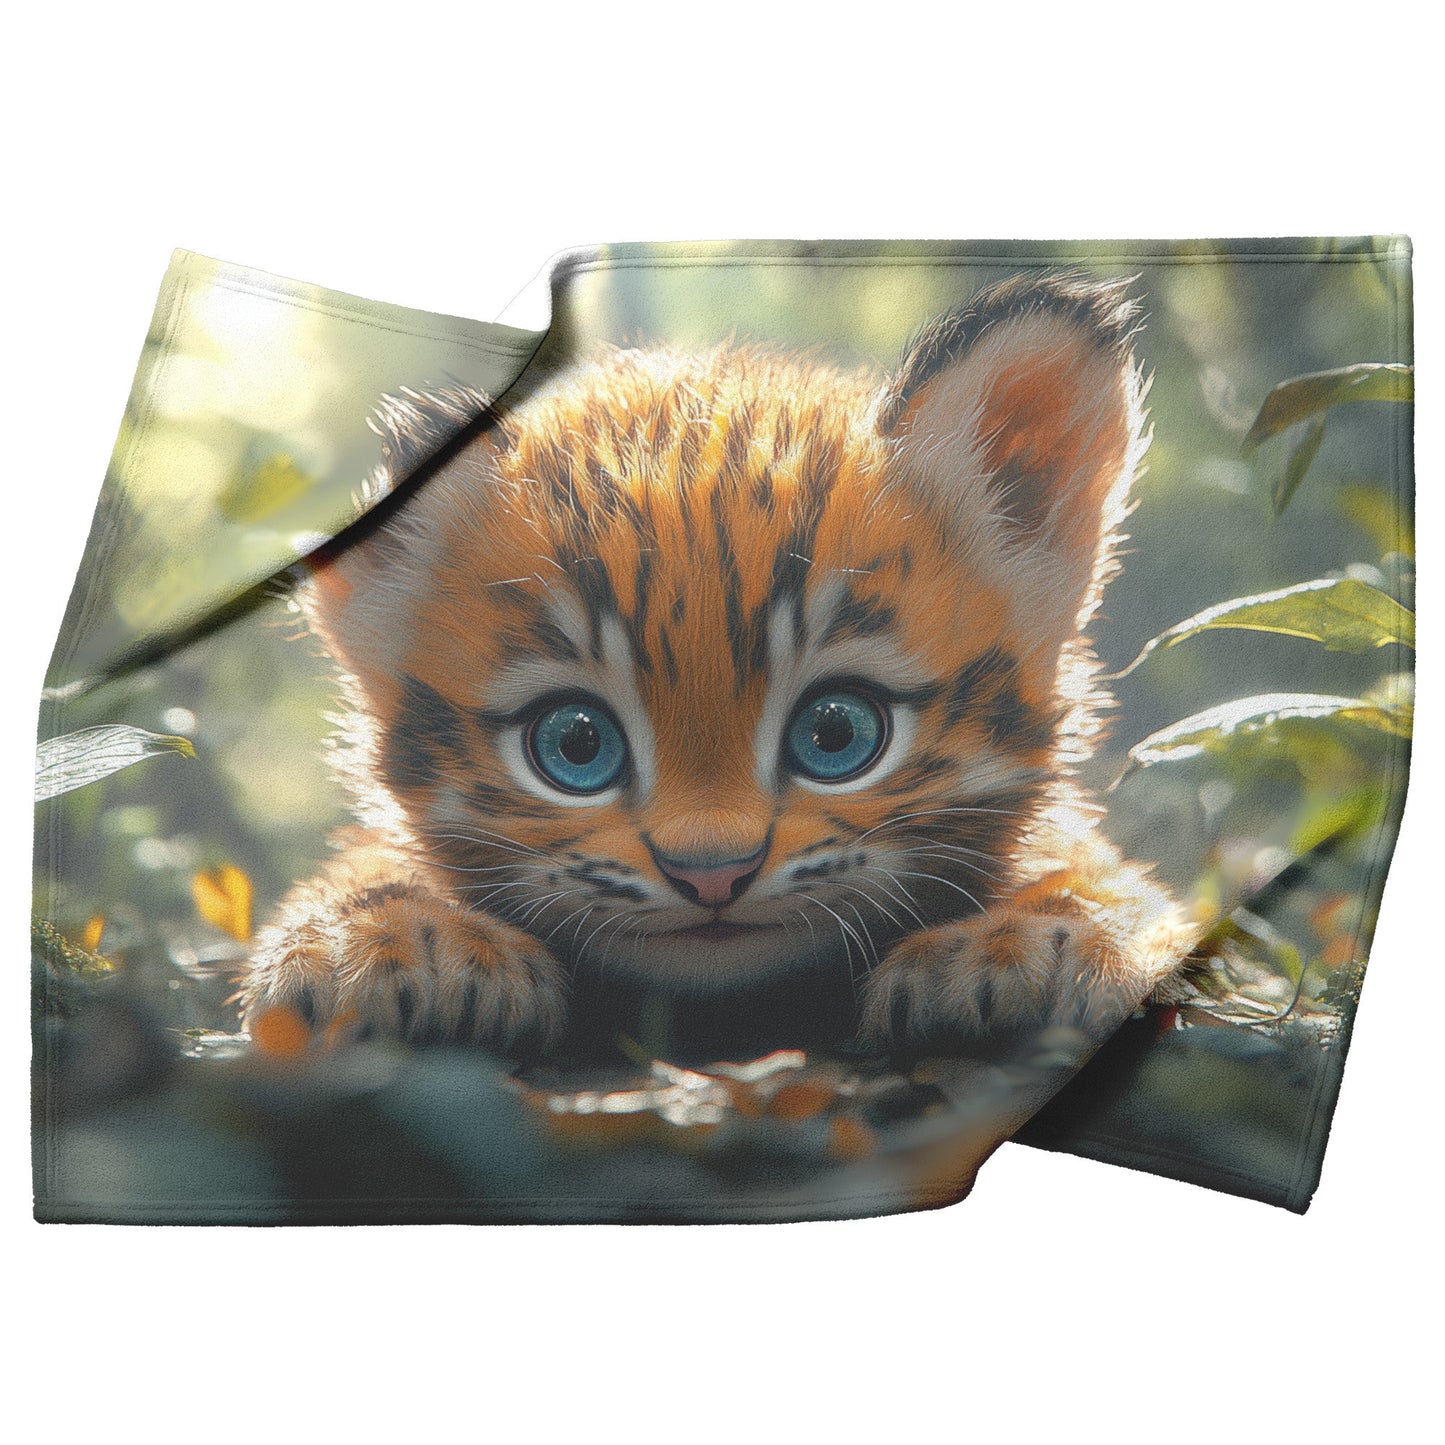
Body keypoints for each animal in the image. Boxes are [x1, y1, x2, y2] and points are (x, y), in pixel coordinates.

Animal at [238, 271, 1193, 1059]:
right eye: (575, 745)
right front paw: (400, 936)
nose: (711, 874)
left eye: (836, 732)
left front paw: (1033, 933)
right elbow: (368, 862)